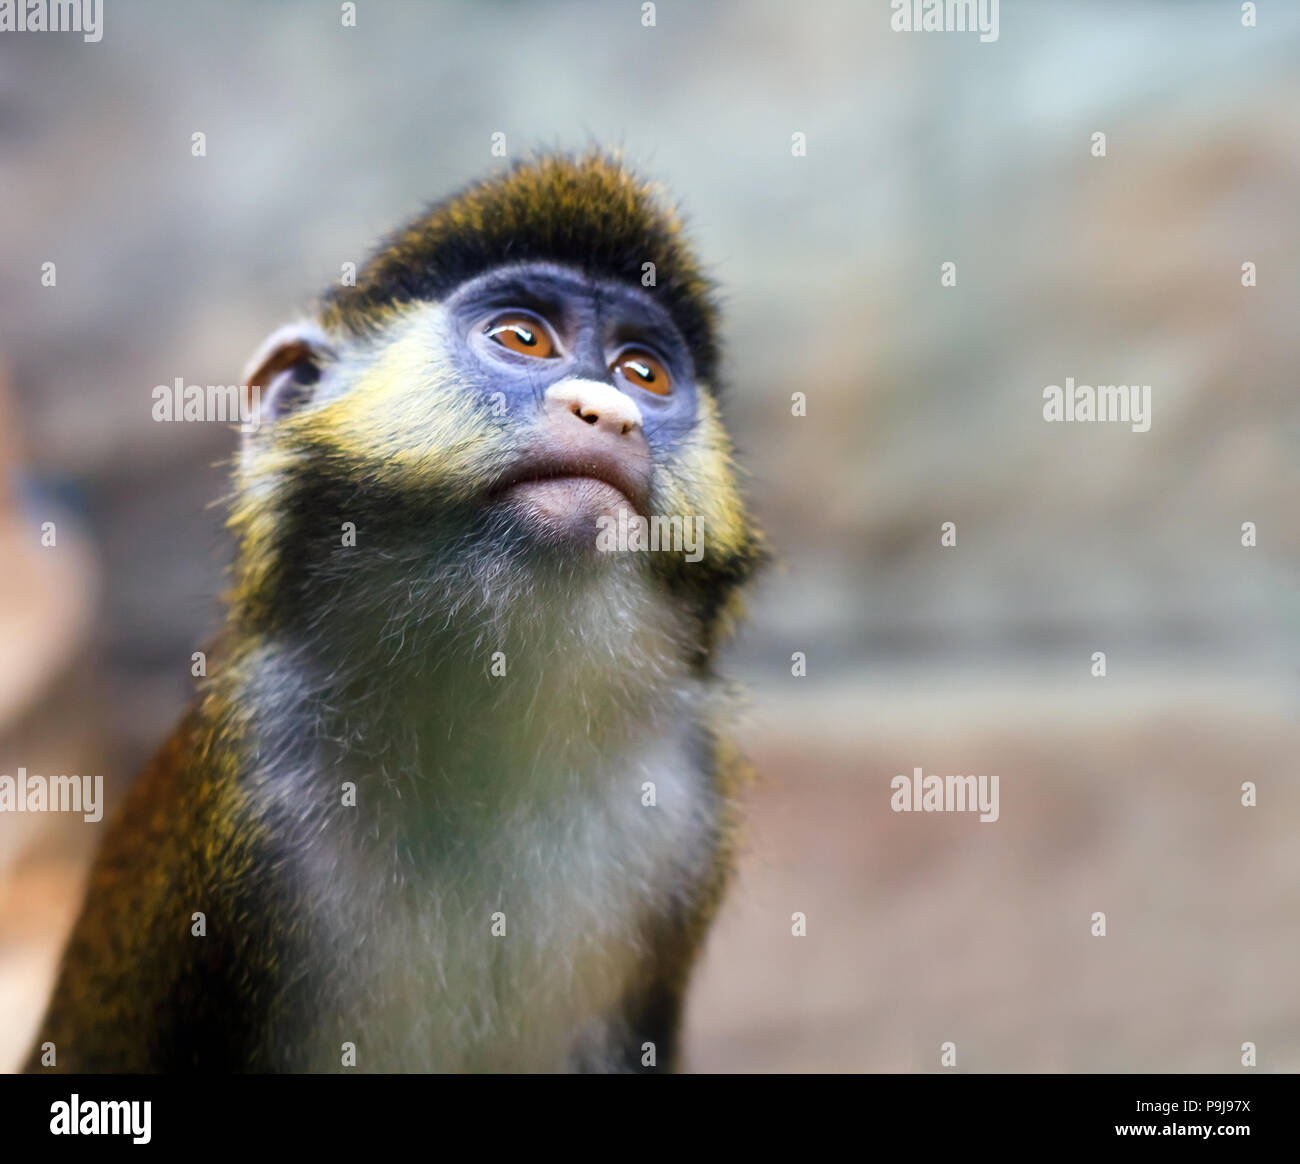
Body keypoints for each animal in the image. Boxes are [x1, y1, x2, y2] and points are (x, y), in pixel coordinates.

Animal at [23, 152, 764, 1074]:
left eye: (644, 374)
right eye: (522, 338)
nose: (612, 412)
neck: (483, 732)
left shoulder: (686, 812)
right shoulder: (254, 792)